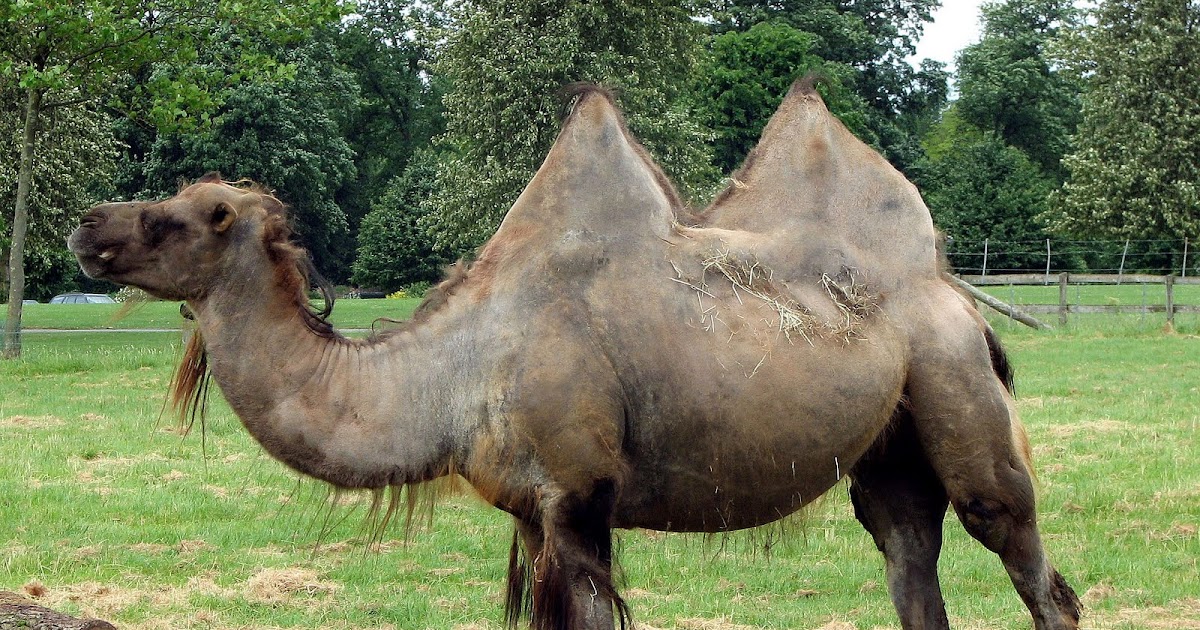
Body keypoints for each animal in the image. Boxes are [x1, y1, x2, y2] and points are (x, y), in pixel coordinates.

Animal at [68, 80, 1081, 630]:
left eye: (191, 215)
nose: (87, 224)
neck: (453, 376)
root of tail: (958, 297)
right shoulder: (529, 512)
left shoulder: (580, 498)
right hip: (889, 446)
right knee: (909, 553)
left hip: (957, 386)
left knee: (1028, 558)